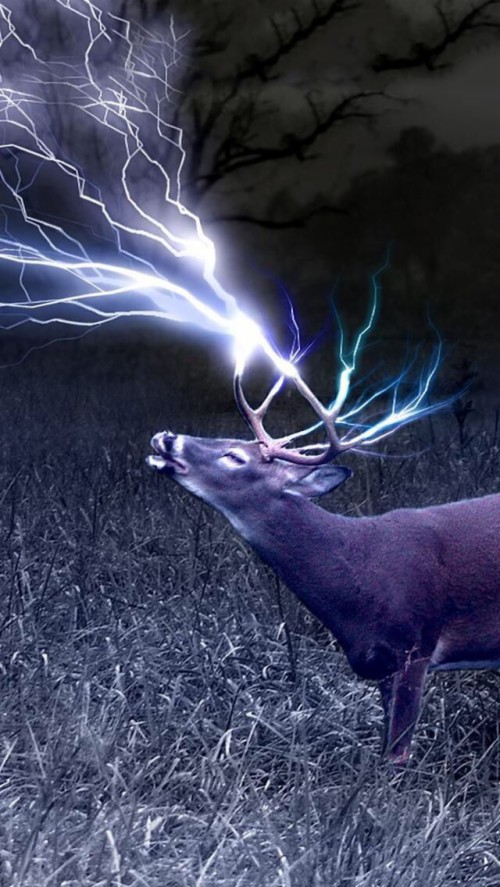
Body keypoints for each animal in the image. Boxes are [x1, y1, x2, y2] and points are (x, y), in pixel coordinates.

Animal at [147, 363, 500, 766]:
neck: (360, 572)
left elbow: (397, 756)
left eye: (234, 456)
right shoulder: (379, 662)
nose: (166, 437)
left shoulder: (416, 643)